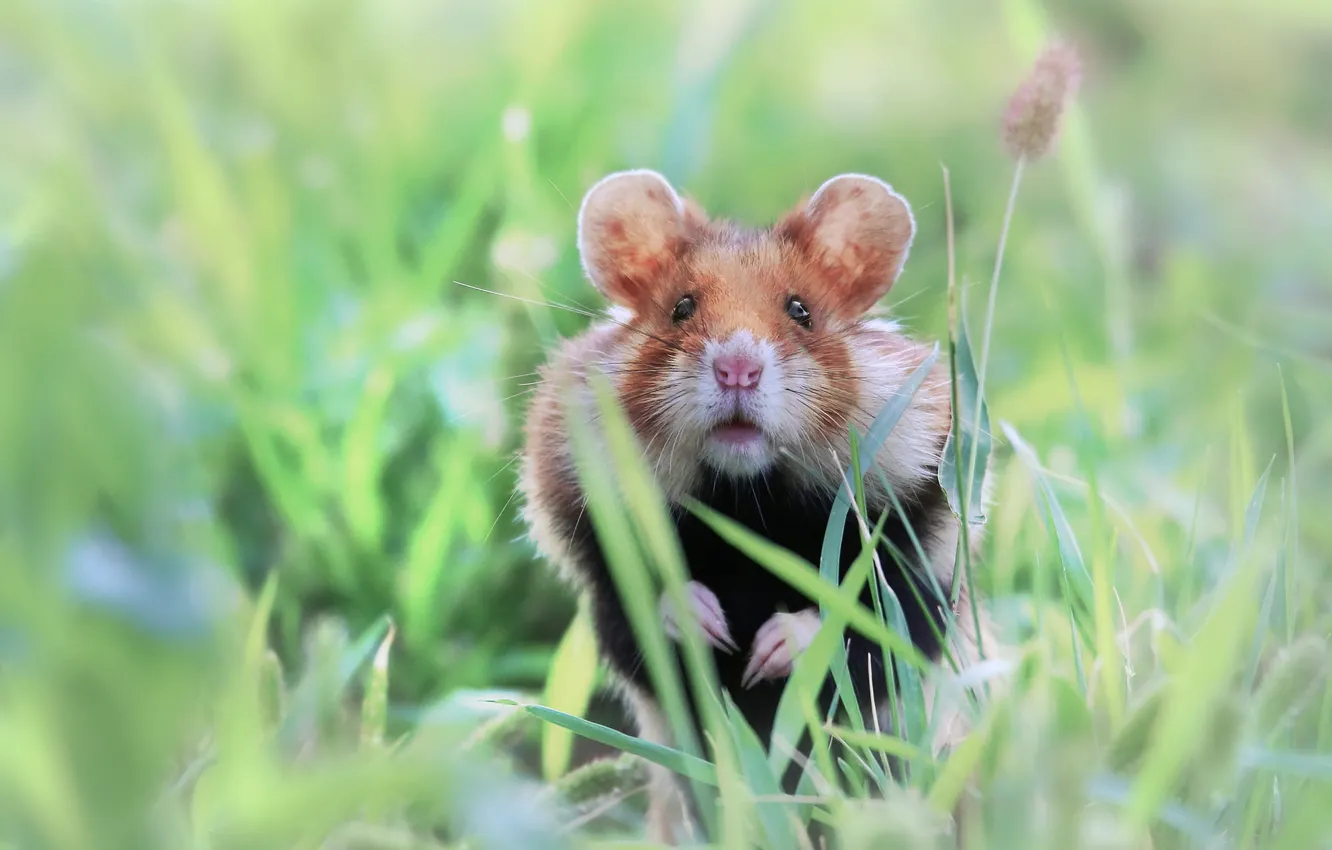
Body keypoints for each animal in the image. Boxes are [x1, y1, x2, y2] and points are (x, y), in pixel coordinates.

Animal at [518, 168, 994, 843]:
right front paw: (712, 627)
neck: (745, 499)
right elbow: (644, 613)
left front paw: (768, 651)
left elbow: (867, 628)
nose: (737, 368)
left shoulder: (922, 573)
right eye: (681, 308)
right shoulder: (603, 575)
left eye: (801, 311)